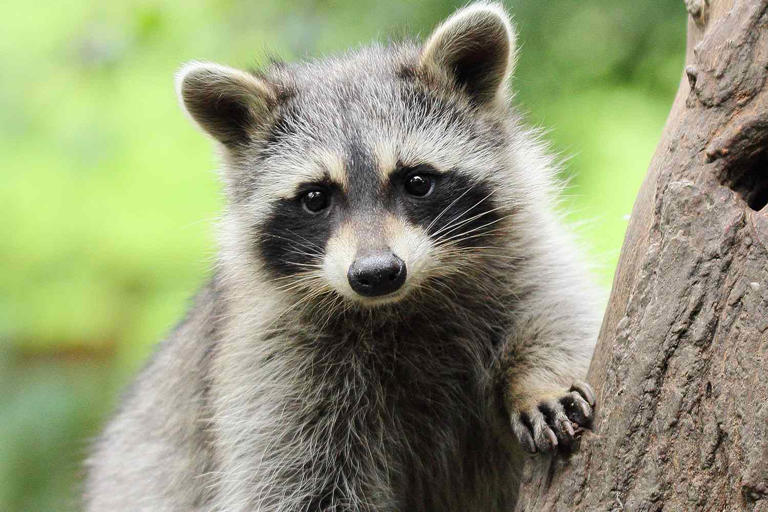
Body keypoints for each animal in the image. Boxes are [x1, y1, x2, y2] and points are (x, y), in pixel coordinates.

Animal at [84, 3, 602, 511]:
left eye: (416, 181)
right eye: (315, 197)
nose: (377, 273)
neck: (400, 304)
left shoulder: (524, 256)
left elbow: (557, 314)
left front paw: (539, 379)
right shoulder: (274, 361)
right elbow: (297, 482)